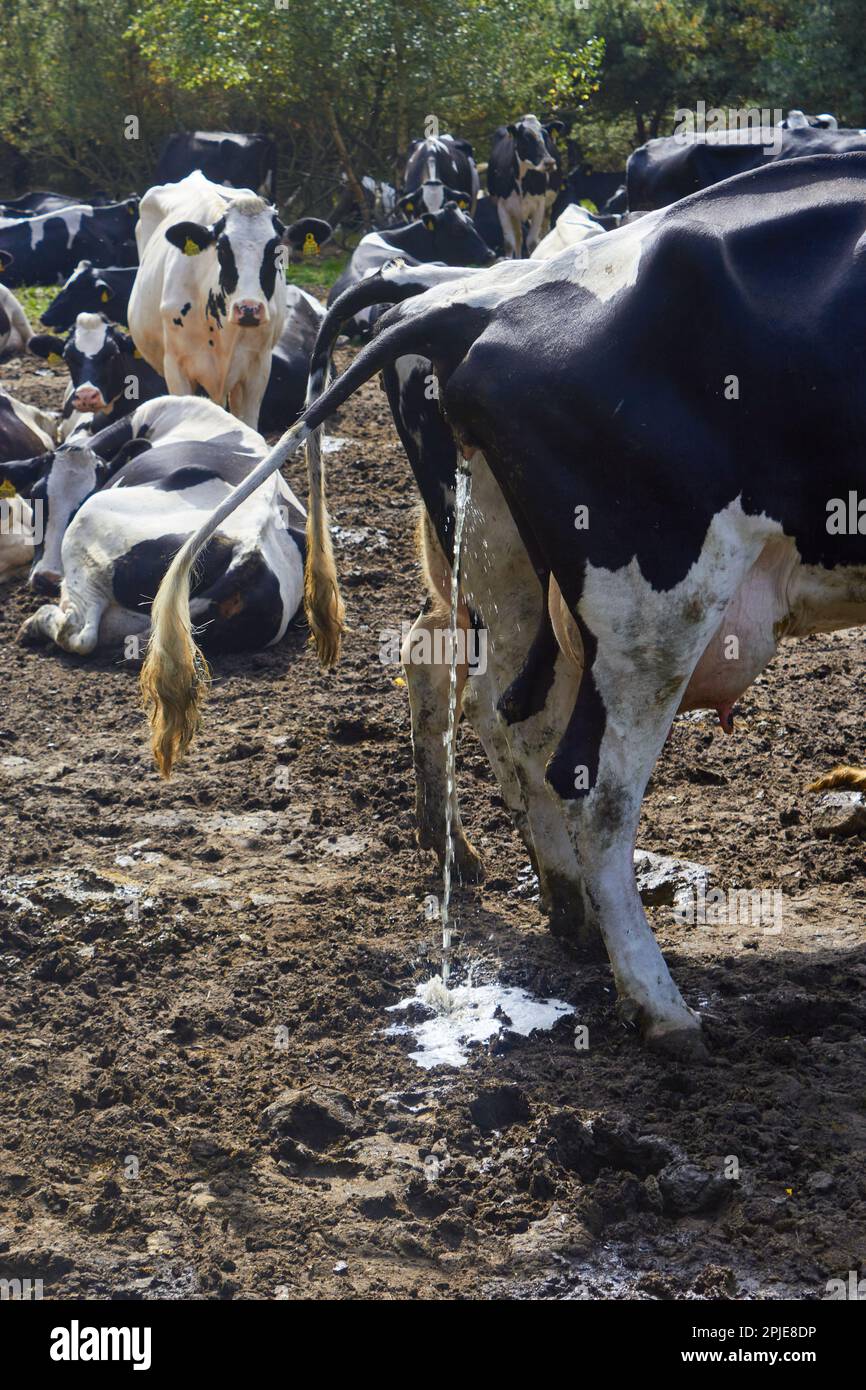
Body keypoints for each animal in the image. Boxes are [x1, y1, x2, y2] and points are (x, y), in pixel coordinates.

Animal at [487, 115, 565, 257]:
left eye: (546, 137)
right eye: (526, 138)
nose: (549, 162)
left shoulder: (539, 205)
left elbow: (532, 242)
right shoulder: (503, 206)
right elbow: (509, 243)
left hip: (546, 208)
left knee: (543, 234)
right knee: (518, 237)